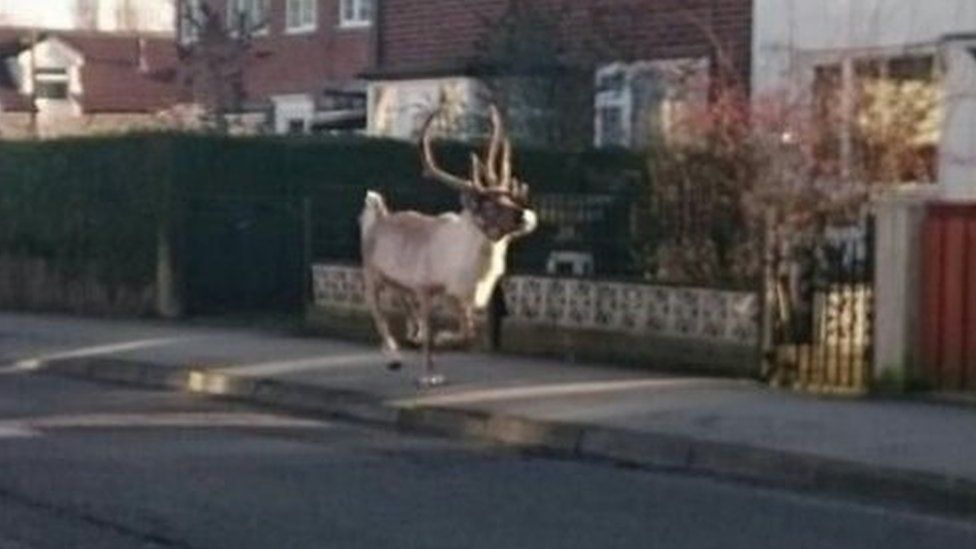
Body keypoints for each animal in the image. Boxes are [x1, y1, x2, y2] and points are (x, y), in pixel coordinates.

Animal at [359, 105, 537, 387]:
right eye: (490, 206)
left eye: (509, 198)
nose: (526, 216)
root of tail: (378, 217)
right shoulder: (426, 290)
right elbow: (435, 334)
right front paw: (429, 373)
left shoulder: (463, 297)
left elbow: (468, 333)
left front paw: (437, 341)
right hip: (372, 275)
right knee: (378, 312)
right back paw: (394, 357)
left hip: (398, 282)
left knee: (403, 301)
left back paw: (412, 333)